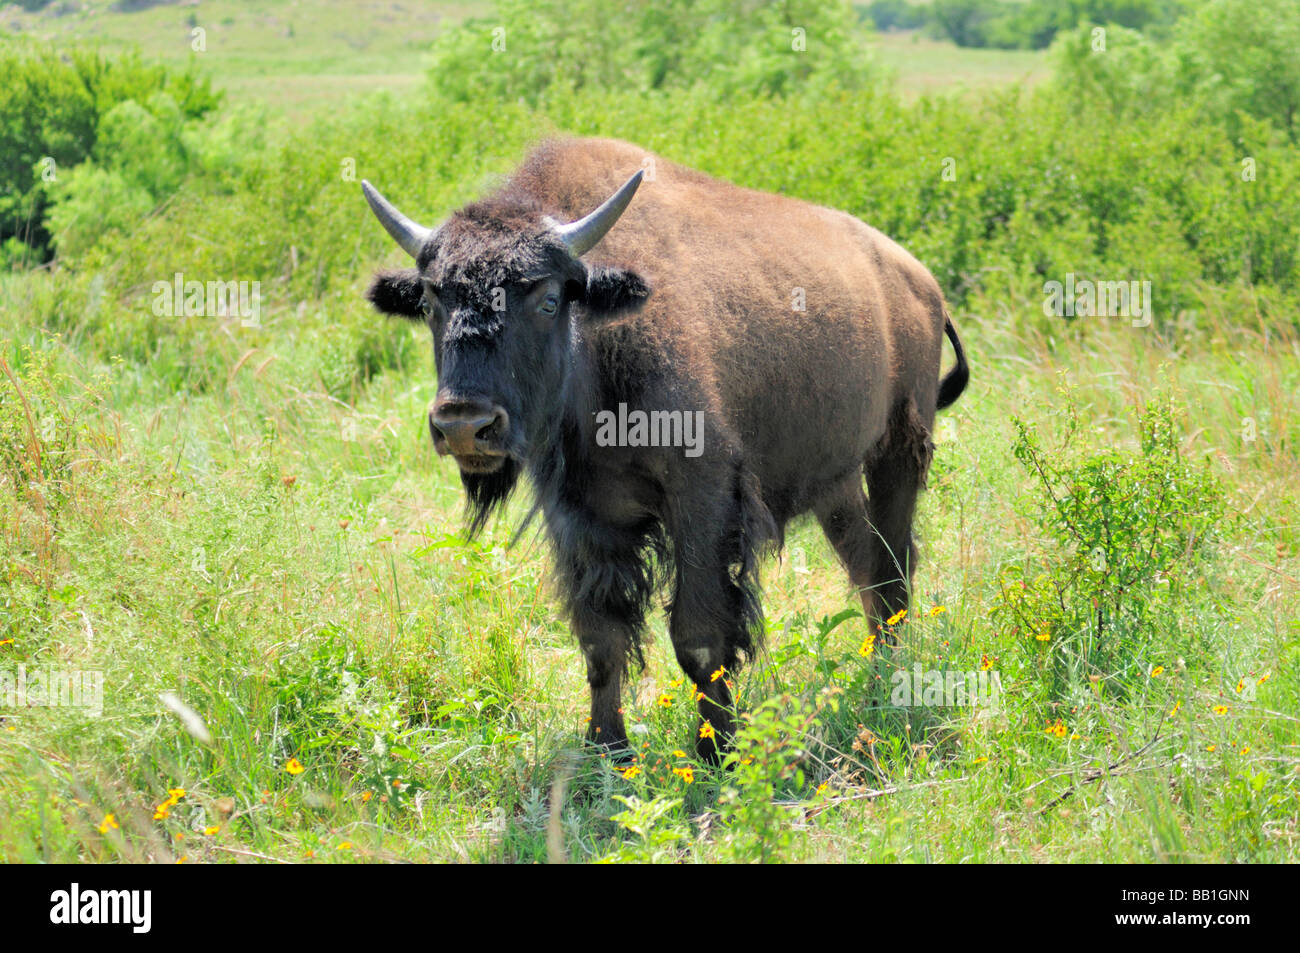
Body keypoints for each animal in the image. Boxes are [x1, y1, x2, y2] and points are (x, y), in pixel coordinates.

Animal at [362, 137, 968, 761]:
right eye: (430, 302)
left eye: (549, 300)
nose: (465, 424)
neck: (600, 333)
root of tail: (919, 281)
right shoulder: (578, 515)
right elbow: (601, 639)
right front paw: (606, 751)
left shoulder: (701, 500)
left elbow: (698, 637)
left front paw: (716, 752)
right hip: (837, 484)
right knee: (869, 568)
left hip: (899, 451)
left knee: (893, 574)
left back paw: (885, 692)